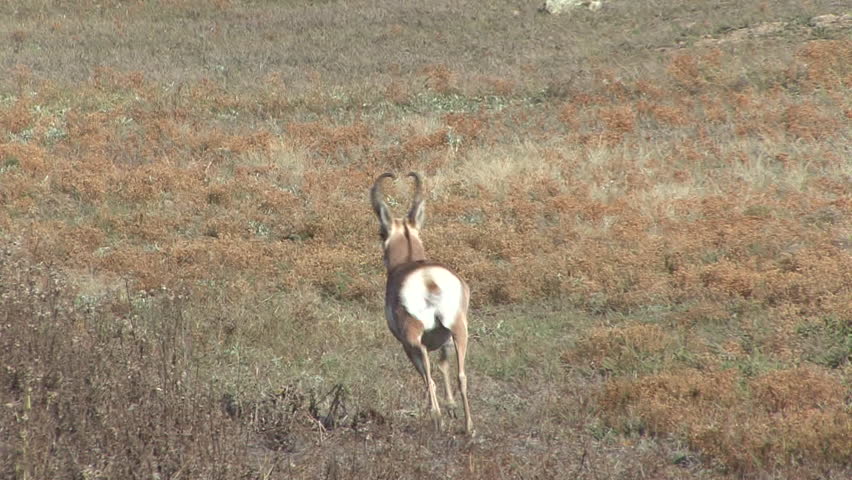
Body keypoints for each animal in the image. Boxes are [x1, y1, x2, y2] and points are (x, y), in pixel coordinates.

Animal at [370, 172, 474, 435]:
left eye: (381, 232)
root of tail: (428, 278)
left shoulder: (406, 346)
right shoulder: (445, 341)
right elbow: (445, 366)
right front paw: (451, 408)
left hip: (414, 339)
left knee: (429, 378)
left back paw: (437, 420)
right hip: (459, 331)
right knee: (461, 376)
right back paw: (469, 427)